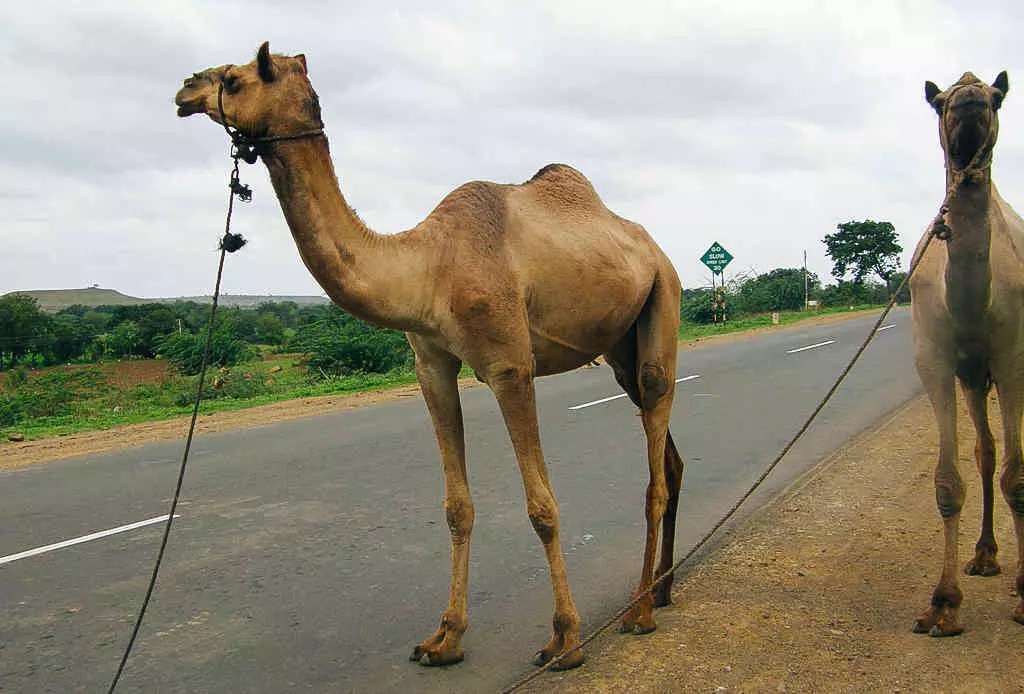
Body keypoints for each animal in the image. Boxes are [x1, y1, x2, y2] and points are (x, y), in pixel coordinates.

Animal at [176, 42, 688, 667]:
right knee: (668, 460)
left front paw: (565, 638)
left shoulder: (510, 366)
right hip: (619, 348)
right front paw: (445, 638)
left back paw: (638, 611)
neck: (428, 265)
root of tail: (655, 249)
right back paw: (661, 589)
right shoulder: (431, 366)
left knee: (655, 458)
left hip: (663, 298)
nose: (185, 88)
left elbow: (542, 507)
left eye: (233, 76)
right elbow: (455, 507)